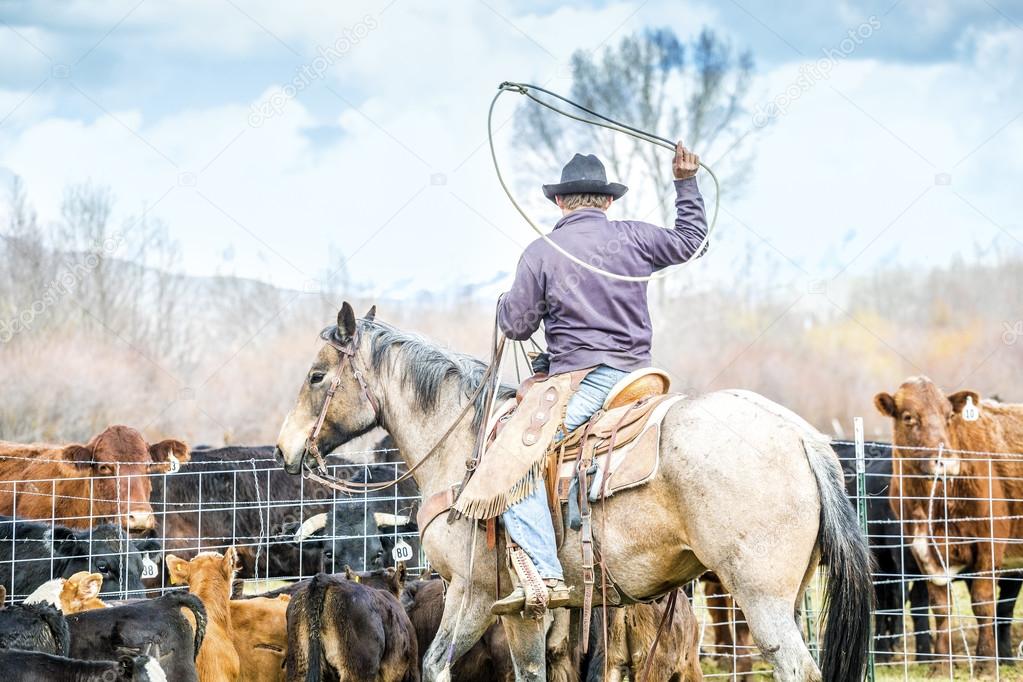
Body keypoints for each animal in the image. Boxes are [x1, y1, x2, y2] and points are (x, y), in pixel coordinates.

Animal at [875, 376, 1023, 669]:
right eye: (909, 417)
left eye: (948, 416)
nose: (946, 462)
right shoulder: (923, 551)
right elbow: (939, 606)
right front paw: (940, 664)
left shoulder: (989, 546)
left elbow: (983, 603)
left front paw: (985, 663)